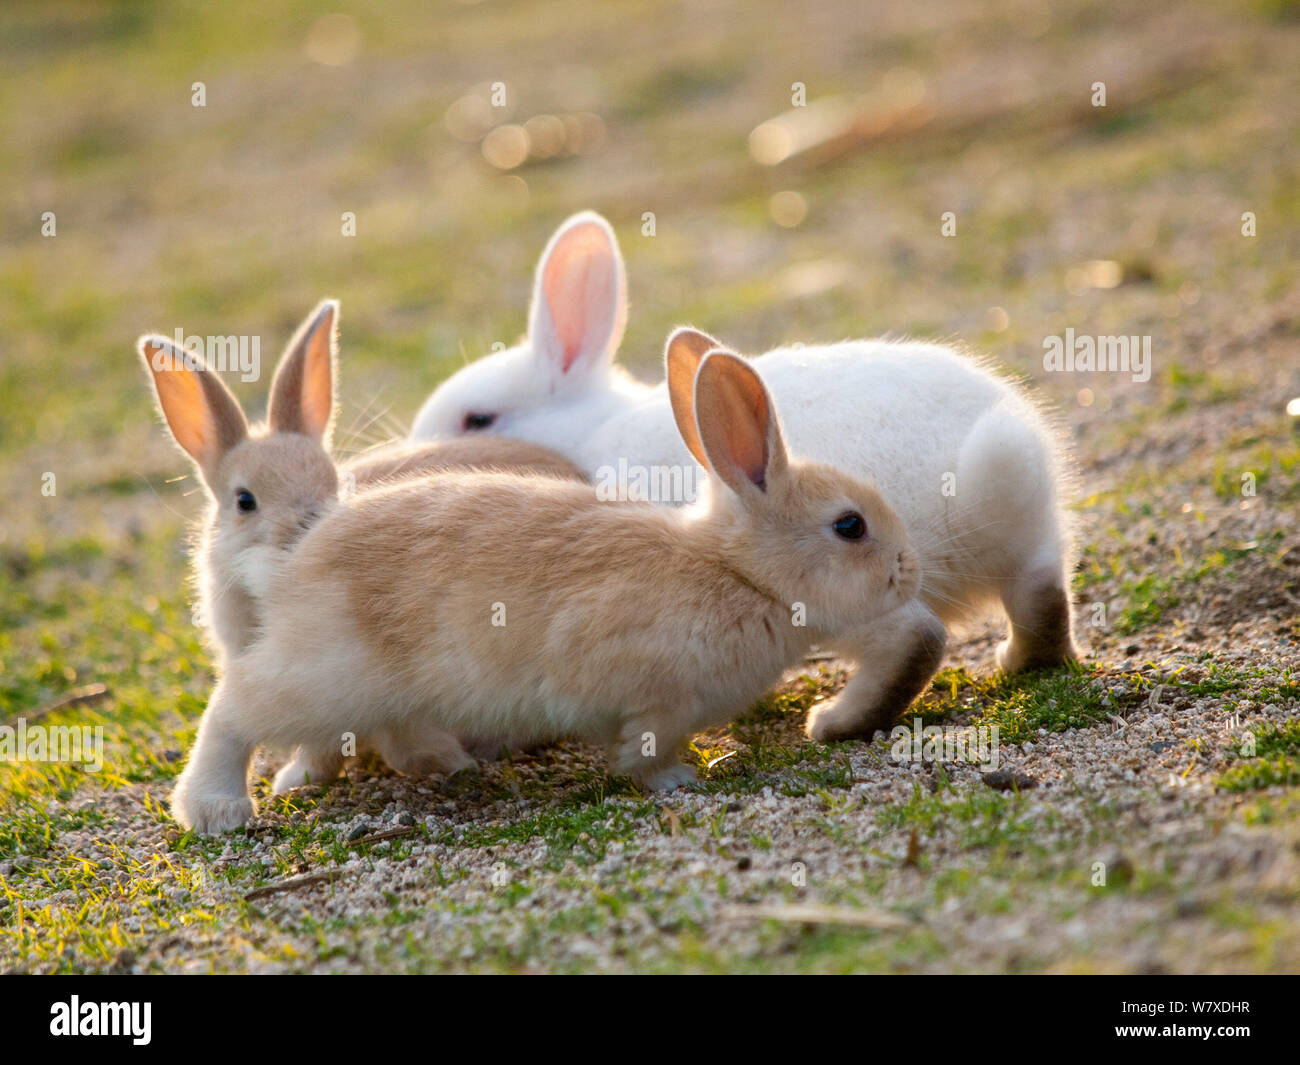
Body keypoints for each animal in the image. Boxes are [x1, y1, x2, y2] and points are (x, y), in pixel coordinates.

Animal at [169, 348, 922, 833]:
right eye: (850, 526)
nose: (909, 568)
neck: (737, 572)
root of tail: (293, 561)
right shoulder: (656, 698)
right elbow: (645, 745)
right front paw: (675, 780)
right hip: (321, 676)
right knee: (233, 711)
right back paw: (216, 810)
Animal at [409, 211, 1078, 742]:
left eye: (477, 419)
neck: (587, 432)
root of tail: (971, 488)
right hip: (1029, 549)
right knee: (1041, 599)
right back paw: (1016, 661)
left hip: (842, 591)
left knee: (916, 636)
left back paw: (832, 723)